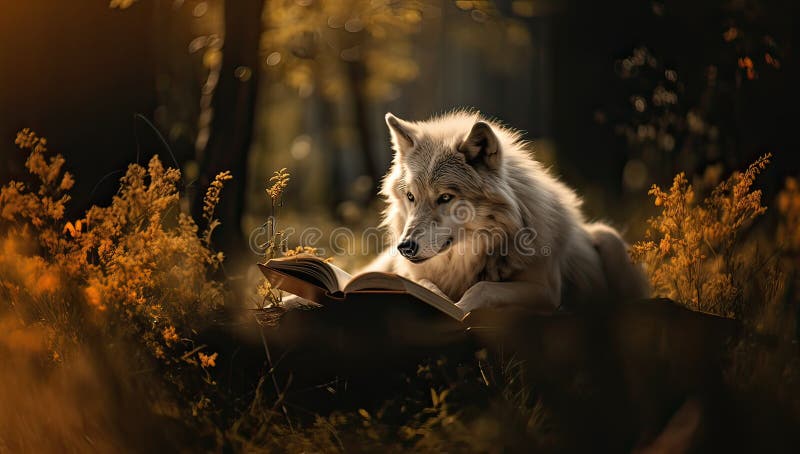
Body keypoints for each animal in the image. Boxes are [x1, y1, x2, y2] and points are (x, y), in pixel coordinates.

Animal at [363, 110, 650, 313]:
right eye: (411, 197)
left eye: (445, 197)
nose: (405, 247)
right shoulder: (414, 273)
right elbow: (424, 284)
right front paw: (439, 299)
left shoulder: (546, 290)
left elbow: (483, 288)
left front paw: (458, 309)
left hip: (609, 238)